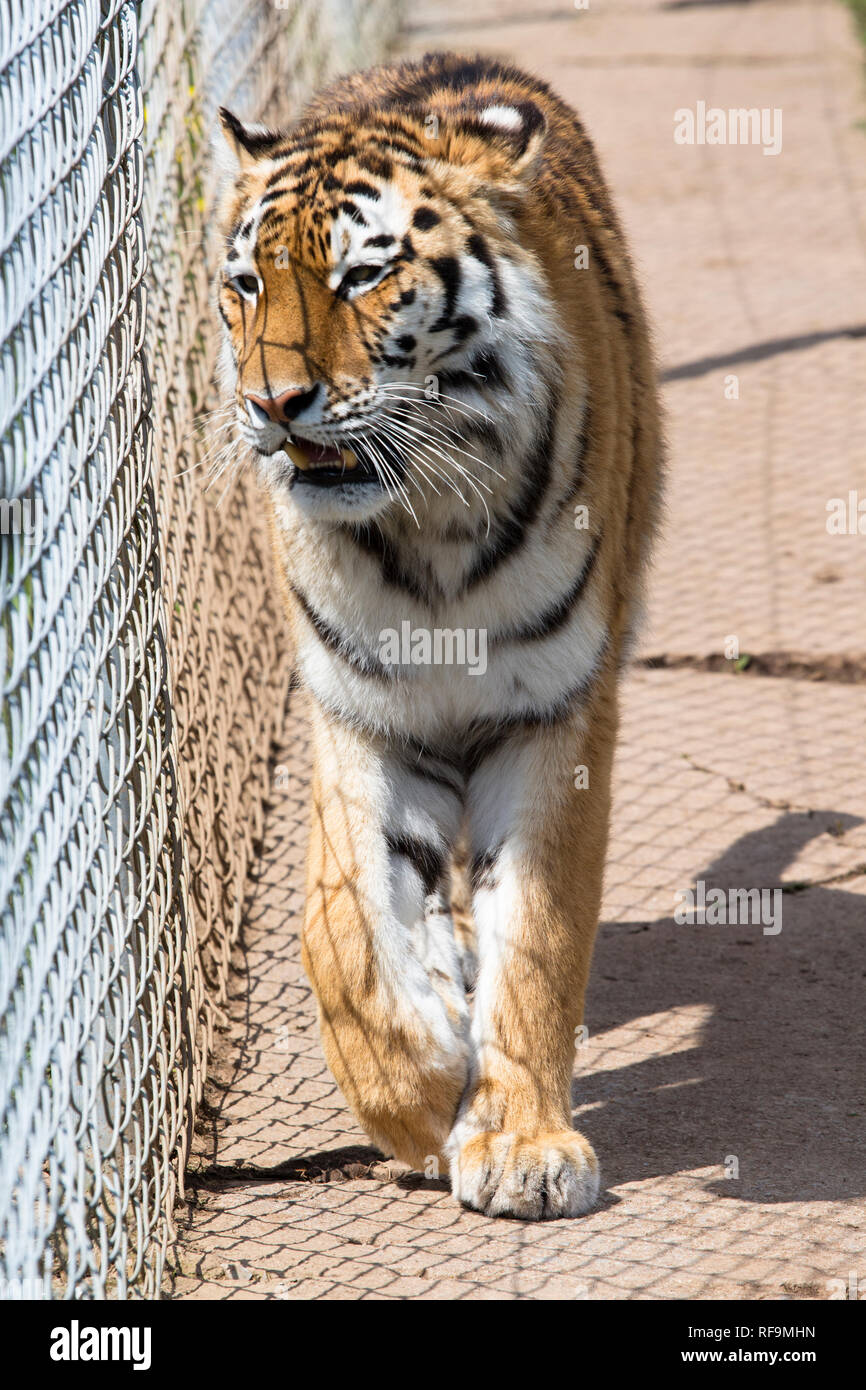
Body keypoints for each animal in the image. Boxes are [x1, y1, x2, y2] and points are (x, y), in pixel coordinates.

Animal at [216, 51, 662, 1219]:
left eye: (360, 277)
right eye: (247, 285)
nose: (273, 404)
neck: (428, 528)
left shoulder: (555, 713)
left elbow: (540, 937)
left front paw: (520, 1145)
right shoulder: (360, 713)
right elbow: (340, 939)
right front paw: (416, 1096)